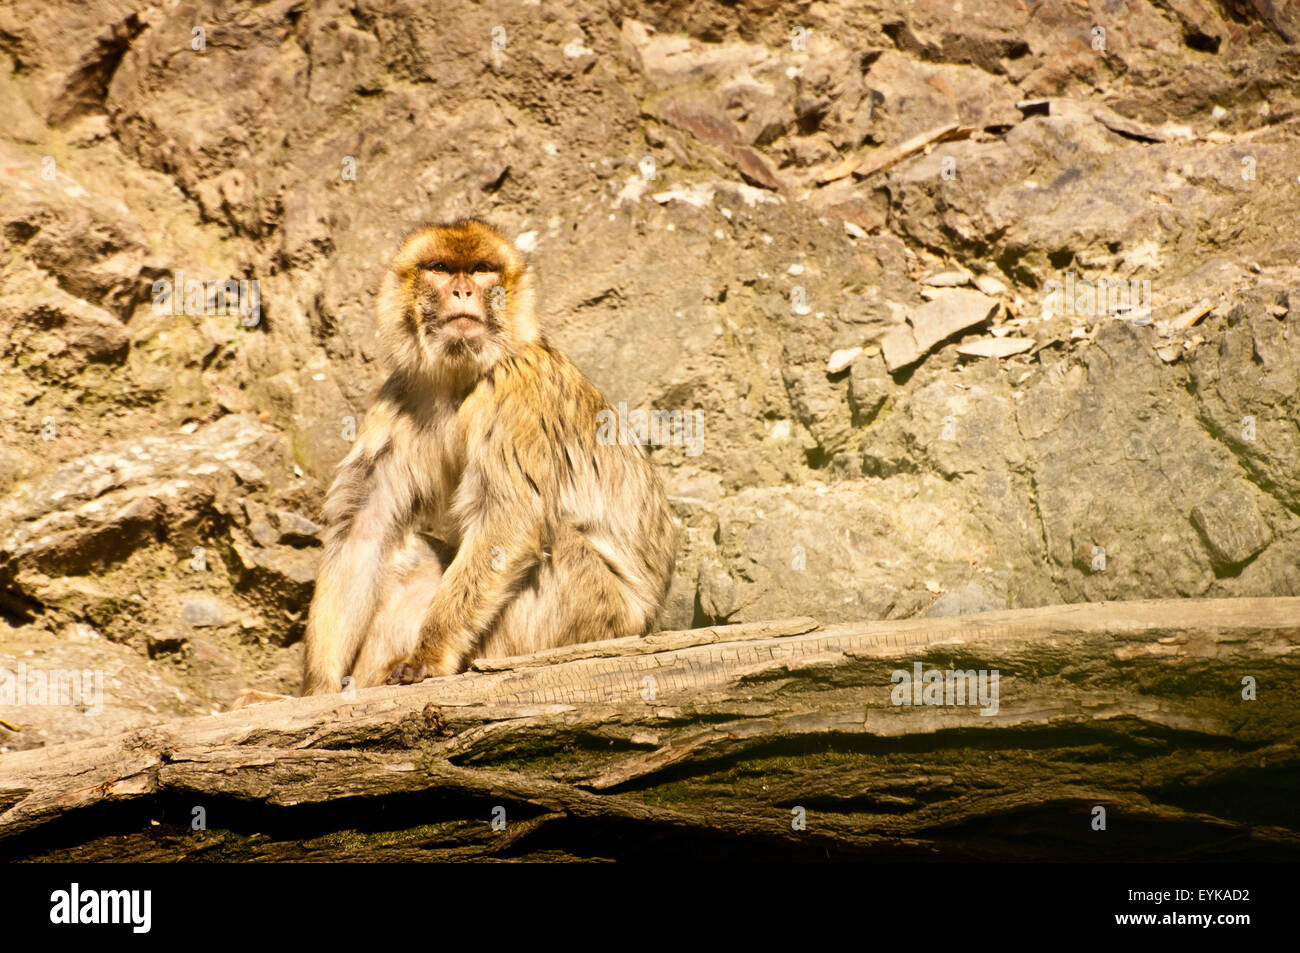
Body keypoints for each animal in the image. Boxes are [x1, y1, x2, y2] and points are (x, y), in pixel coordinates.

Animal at [301, 219, 677, 695]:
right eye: (441, 268)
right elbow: (365, 527)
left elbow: (507, 521)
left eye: (481, 270)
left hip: (595, 618)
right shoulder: (401, 394)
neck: (462, 375)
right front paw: (319, 689)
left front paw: (429, 656)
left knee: (552, 538)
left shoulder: (516, 388)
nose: (462, 291)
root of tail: (648, 622)